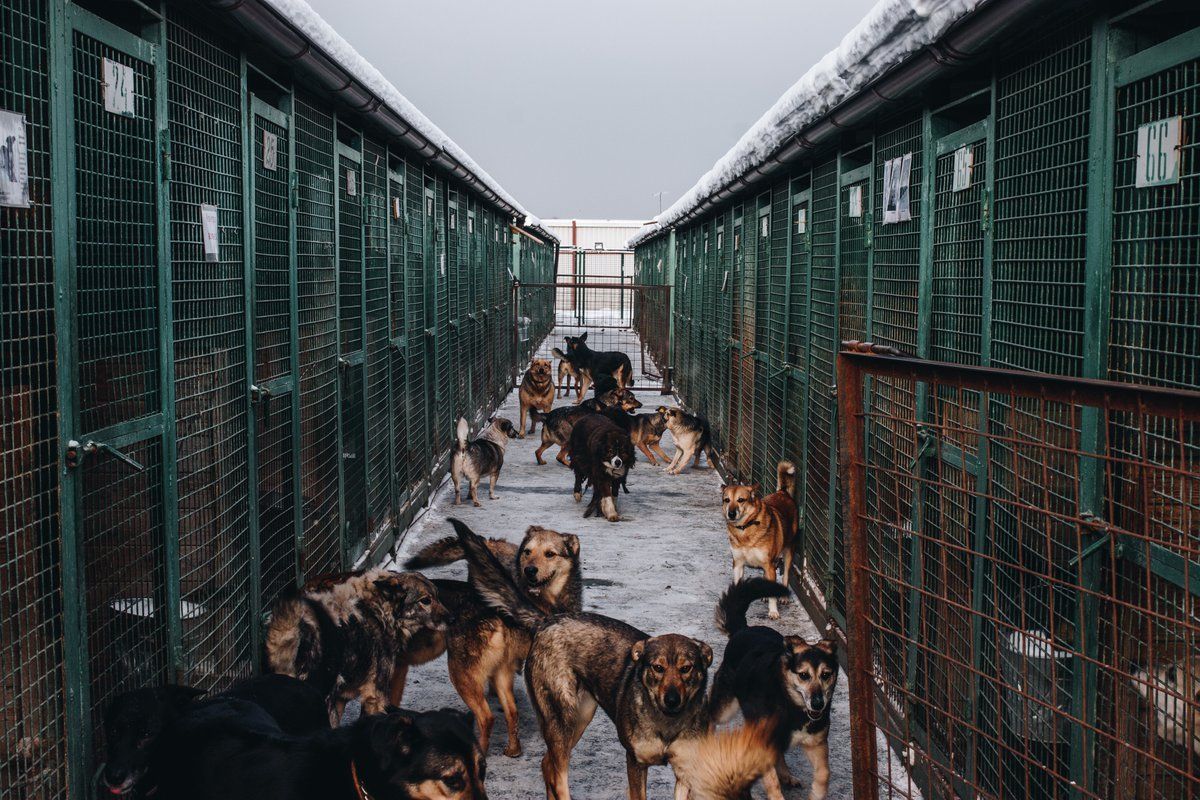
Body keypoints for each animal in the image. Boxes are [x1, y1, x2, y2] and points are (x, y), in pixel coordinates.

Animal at [720, 462, 796, 618]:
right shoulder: (738, 564)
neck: (745, 529)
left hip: (788, 553)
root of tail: (783, 492)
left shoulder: (769, 564)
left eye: (741, 500)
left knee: (785, 576)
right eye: (727, 500)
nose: (731, 514)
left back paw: (784, 597)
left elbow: (774, 592)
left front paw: (773, 611)